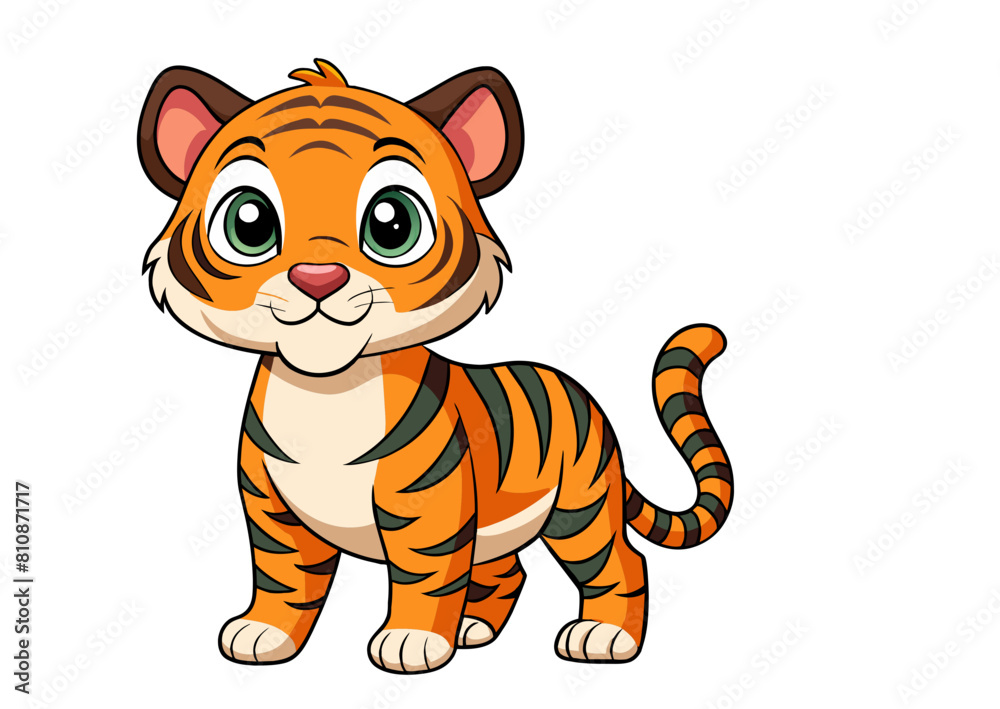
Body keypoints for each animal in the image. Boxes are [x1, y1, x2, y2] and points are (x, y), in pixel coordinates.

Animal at [137, 58, 734, 674]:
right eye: (250, 223)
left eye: (392, 224)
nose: (318, 277)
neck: (327, 392)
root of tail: (582, 393)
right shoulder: (272, 507)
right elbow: (283, 577)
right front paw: (264, 633)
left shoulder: (430, 507)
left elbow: (425, 578)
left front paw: (412, 642)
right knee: (509, 568)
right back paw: (474, 628)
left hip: (581, 504)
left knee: (620, 561)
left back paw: (603, 636)